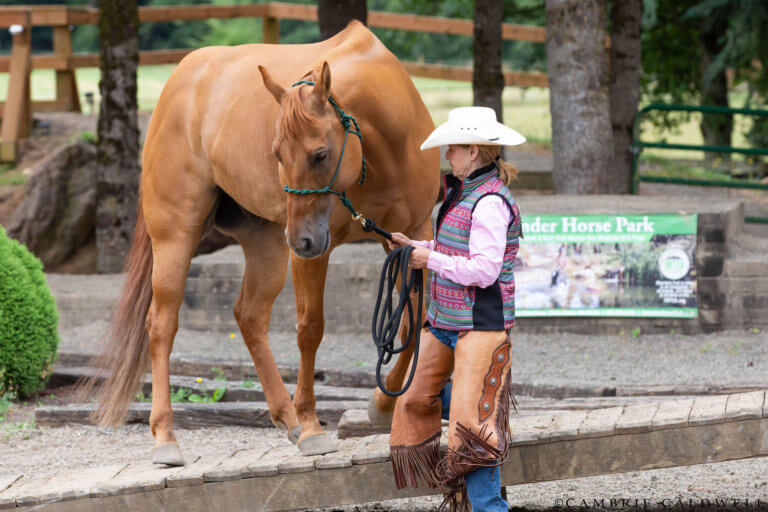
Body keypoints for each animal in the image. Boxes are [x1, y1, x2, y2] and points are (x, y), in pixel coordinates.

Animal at [87, 20, 440, 463]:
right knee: (162, 324)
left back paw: (286, 418)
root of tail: (180, 77)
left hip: (269, 246)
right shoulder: (314, 254)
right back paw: (166, 437)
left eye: (320, 154)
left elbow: (416, 318)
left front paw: (380, 405)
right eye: (277, 153)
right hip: (177, 239)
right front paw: (313, 426)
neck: (385, 148)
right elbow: (310, 329)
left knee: (249, 315)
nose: (300, 239)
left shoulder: (411, 237)